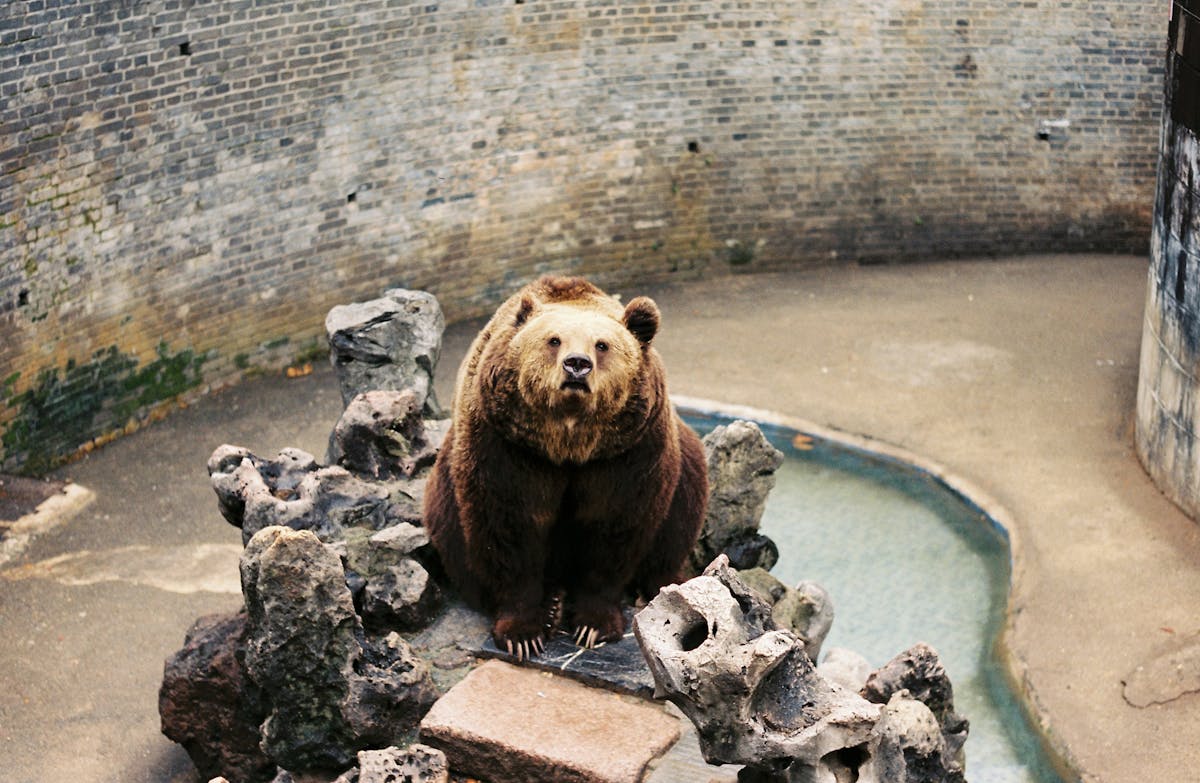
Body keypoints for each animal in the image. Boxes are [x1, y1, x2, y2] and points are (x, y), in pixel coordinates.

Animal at [422, 275, 708, 659]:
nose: (576, 364)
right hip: (445, 490)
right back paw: (553, 602)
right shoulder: (507, 446)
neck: (569, 441)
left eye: (602, 345)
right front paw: (523, 633)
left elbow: (614, 527)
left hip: (684, 471)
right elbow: (509, 526)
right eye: (553, 340)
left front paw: (593, 625)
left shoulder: (626, 453)